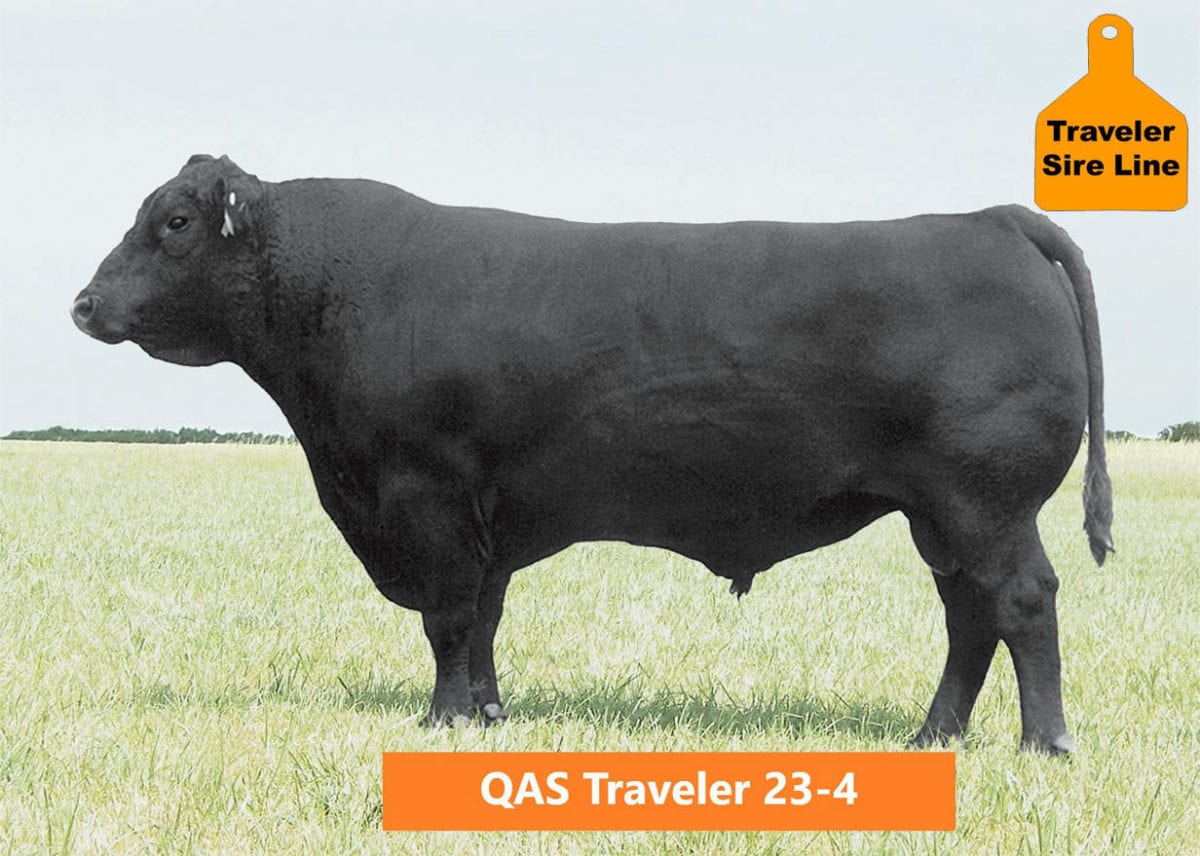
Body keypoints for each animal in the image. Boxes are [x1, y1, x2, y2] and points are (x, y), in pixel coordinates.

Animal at [72, 155, 1113, 753]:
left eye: (173, 222)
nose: (84, 303)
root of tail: (990, 218)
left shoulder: (426, 496)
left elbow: (447, 619)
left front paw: (441, 721)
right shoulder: (485, 516)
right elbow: (483, 622)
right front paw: (487, 715)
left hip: (986, 503)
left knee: (1021, 603)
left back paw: (1044, 745)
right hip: (941, 517)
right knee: (970, 619)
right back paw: (932, 738)